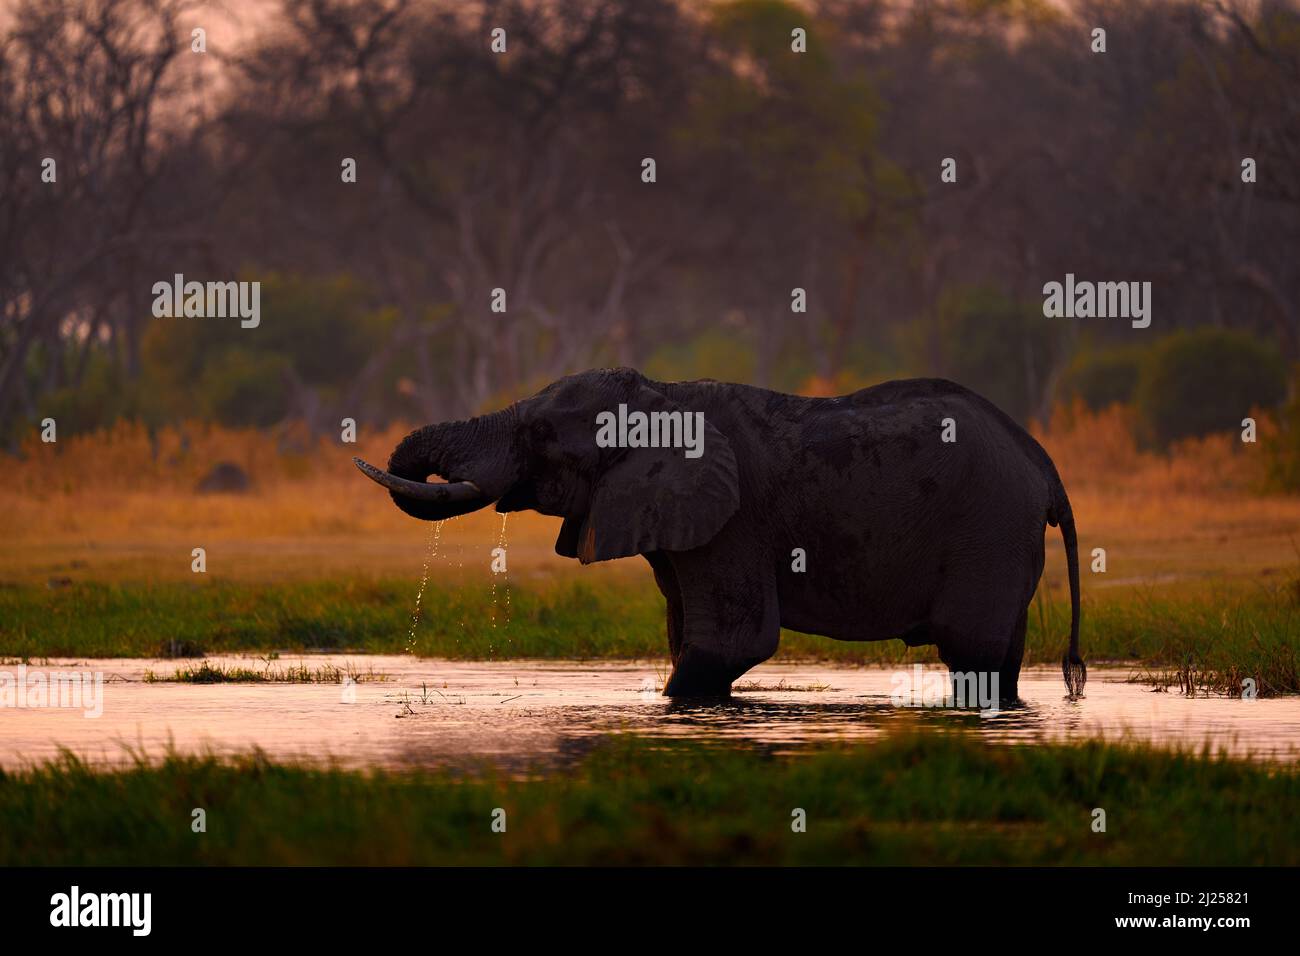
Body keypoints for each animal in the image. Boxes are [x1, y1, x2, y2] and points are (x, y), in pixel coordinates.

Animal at [355, 367, 1084, 702]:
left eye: (539, 434)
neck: (661, 396)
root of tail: (1044, 462)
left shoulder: (733, 523)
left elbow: (729, 642)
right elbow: (689, 638)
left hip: (989, 529)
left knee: (972, 652)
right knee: (998, 658)